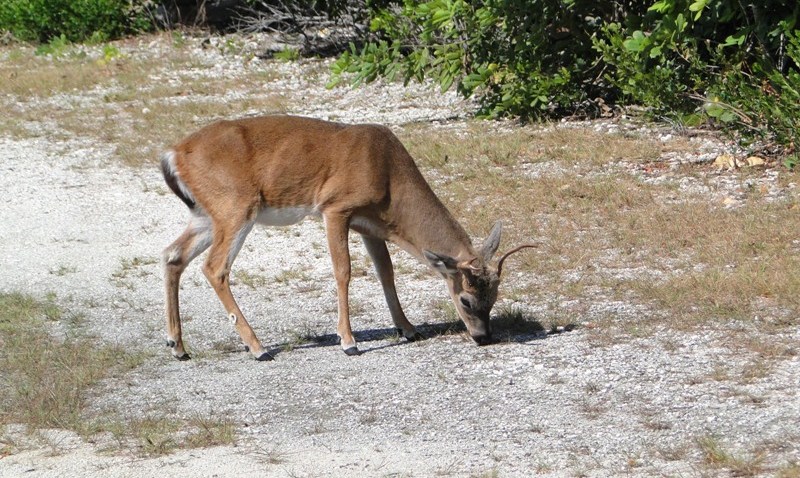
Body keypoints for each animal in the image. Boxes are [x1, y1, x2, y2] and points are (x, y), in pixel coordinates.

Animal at [160, 115, 535, 361]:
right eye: (466, 300)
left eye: (495, 296)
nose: (484, 337)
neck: (388, 176)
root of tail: (173, 154)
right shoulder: (336, 207)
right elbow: (344, 272)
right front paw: (349, 341)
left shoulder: (369, 225)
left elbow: (386, 272)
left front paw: (408, 329)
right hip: (235, 207)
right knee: (214, 267)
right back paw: (258, 348)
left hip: (205, 215)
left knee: (172, 255)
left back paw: (178, 347)